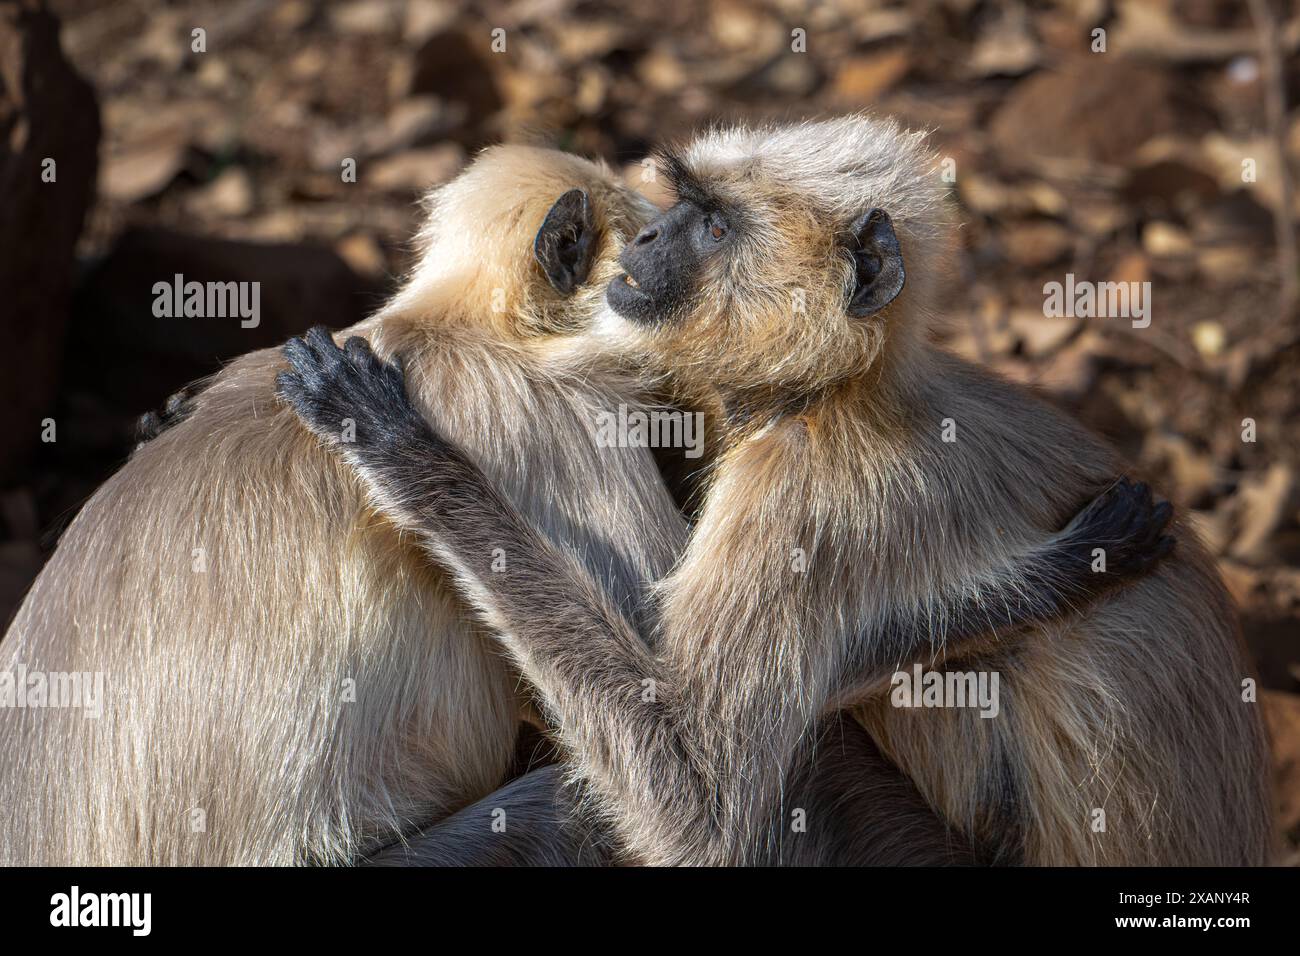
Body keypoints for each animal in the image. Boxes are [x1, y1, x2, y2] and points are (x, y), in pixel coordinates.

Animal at [278, 115, 1271, 867]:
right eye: (684, 209)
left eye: (714, 228)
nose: (645, 239)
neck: (829, 396)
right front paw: (1051, 575)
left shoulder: (804, 485)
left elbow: (702, 802)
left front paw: (411, 459)